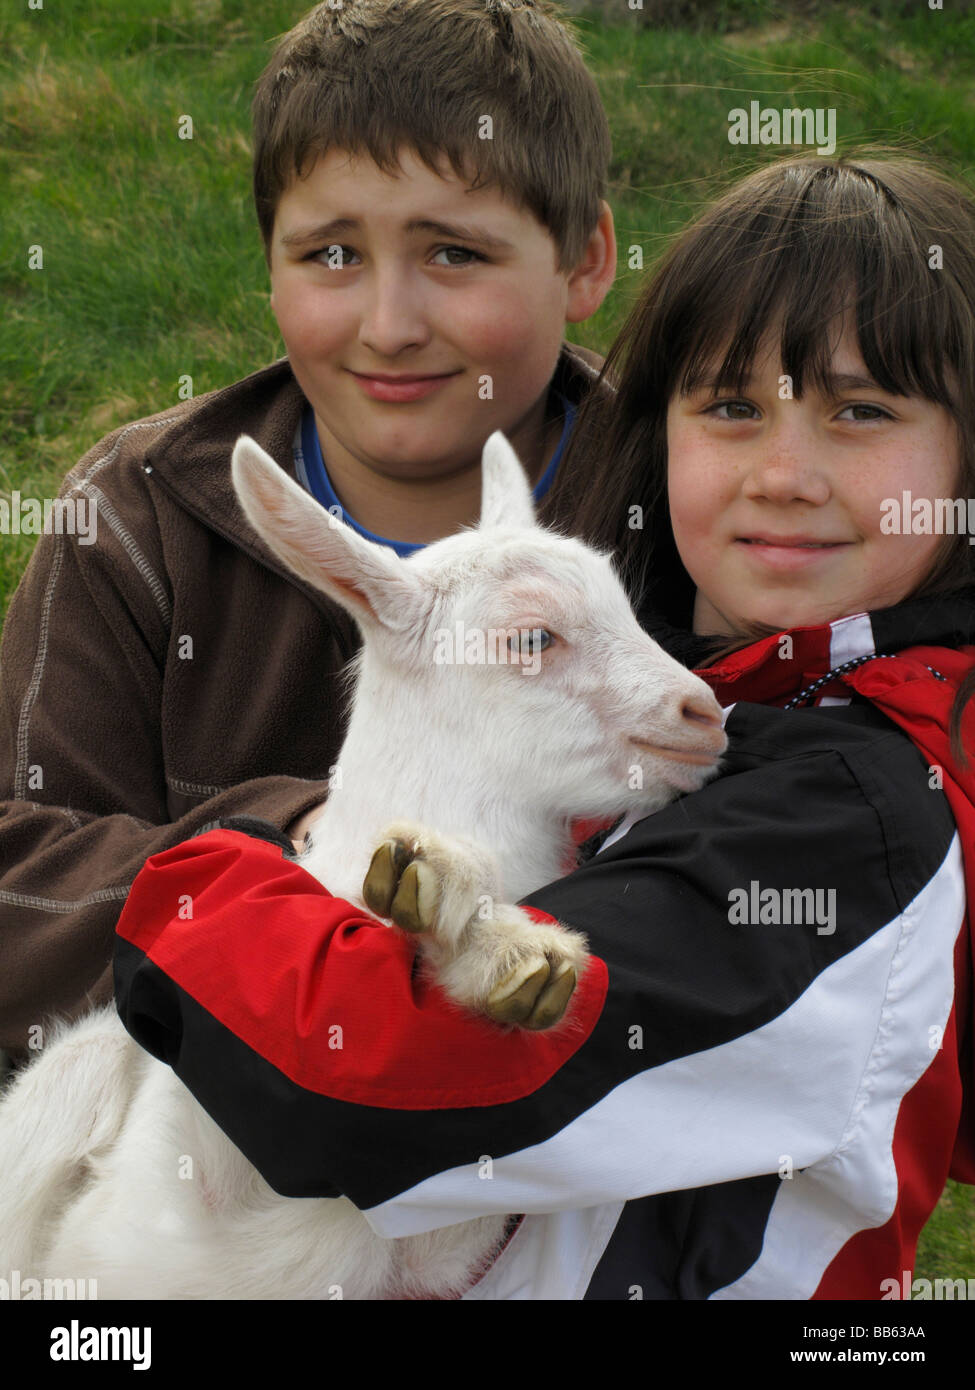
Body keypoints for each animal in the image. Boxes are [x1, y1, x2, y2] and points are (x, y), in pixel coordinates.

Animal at [0, 430, 726, 1299]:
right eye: (531, 636)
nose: (703, 714)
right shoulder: (158, 1201)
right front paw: (475, 919)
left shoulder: (435, 1255)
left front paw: (486, 947)